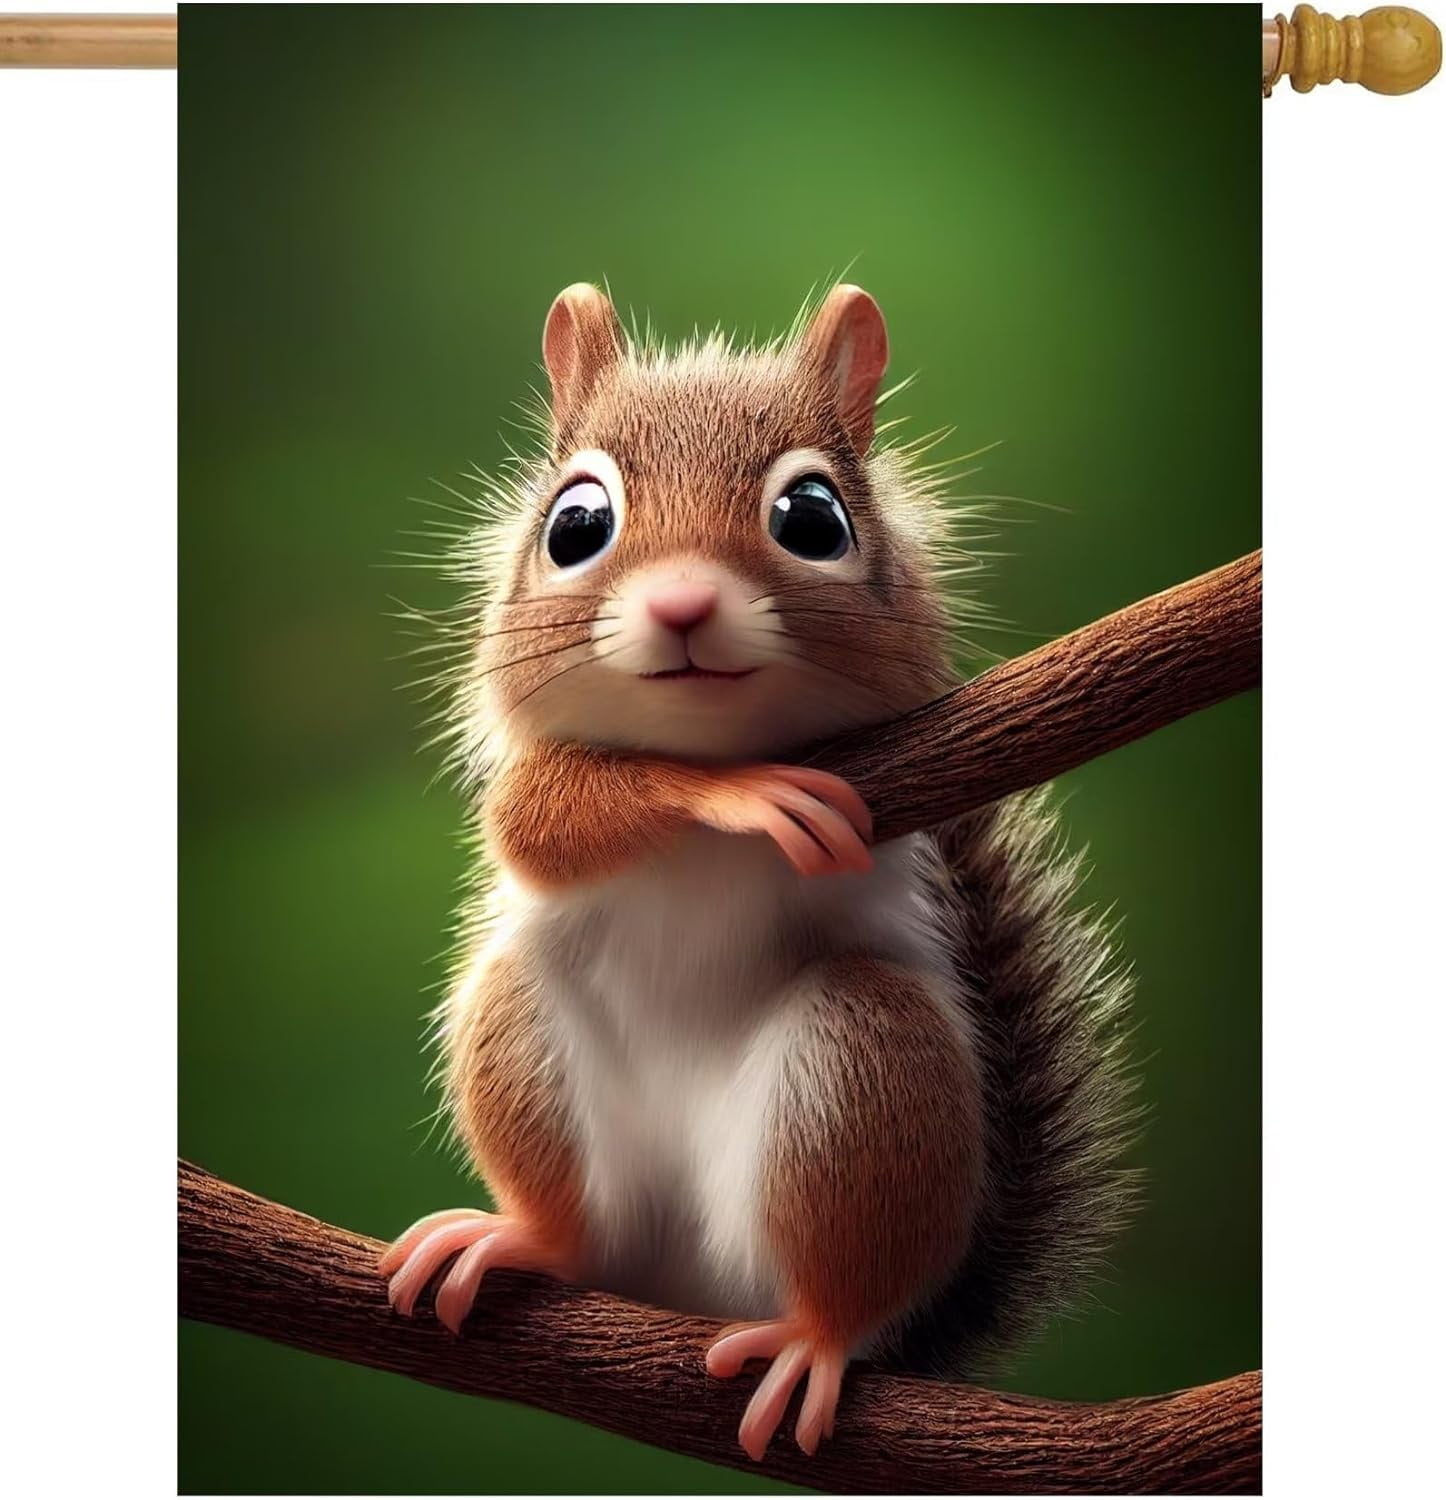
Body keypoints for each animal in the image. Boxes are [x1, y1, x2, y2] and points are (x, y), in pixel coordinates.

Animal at [380, 282, 1138, 1461]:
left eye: (815, 519)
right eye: (574, 525)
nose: (683, 605)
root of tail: (684, 1289)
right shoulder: (531, 787)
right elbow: (541, 825)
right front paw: (739, 795)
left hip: (864, 1065)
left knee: (837, 1287)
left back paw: (813, 1342)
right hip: (526, 1034)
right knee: (579, 1235)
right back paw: (518, 1239)